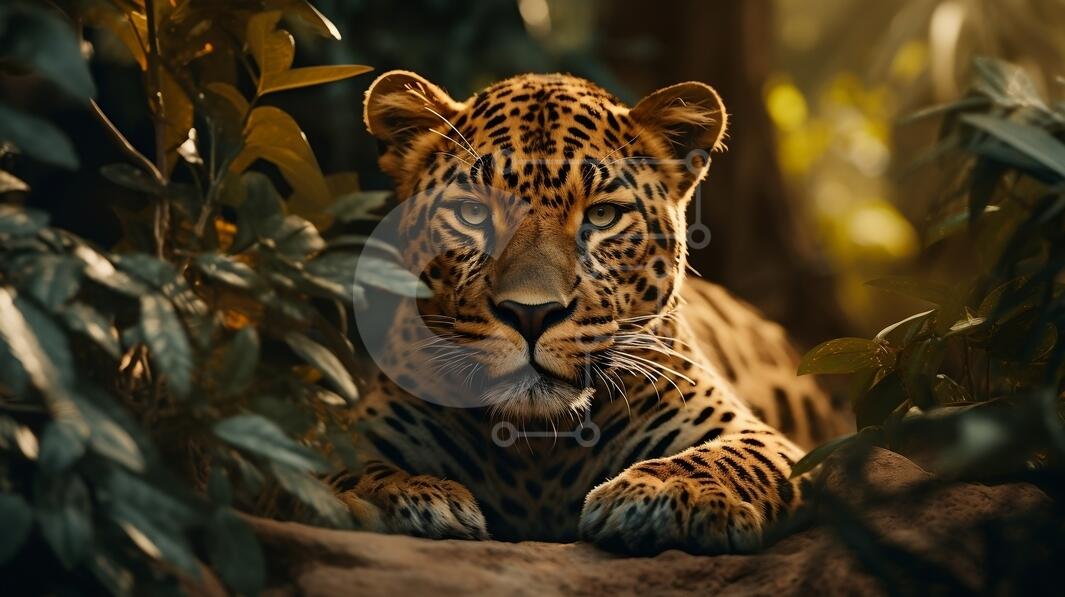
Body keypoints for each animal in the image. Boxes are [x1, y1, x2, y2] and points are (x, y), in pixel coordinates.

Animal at [330, 69, 851, 554]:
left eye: (602, 216)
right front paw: (399, 495)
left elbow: (732, 457)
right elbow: (336, 466)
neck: (538, 446)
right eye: (472, 214)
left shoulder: (758, 434)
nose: (531, 314)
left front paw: (670, 490)